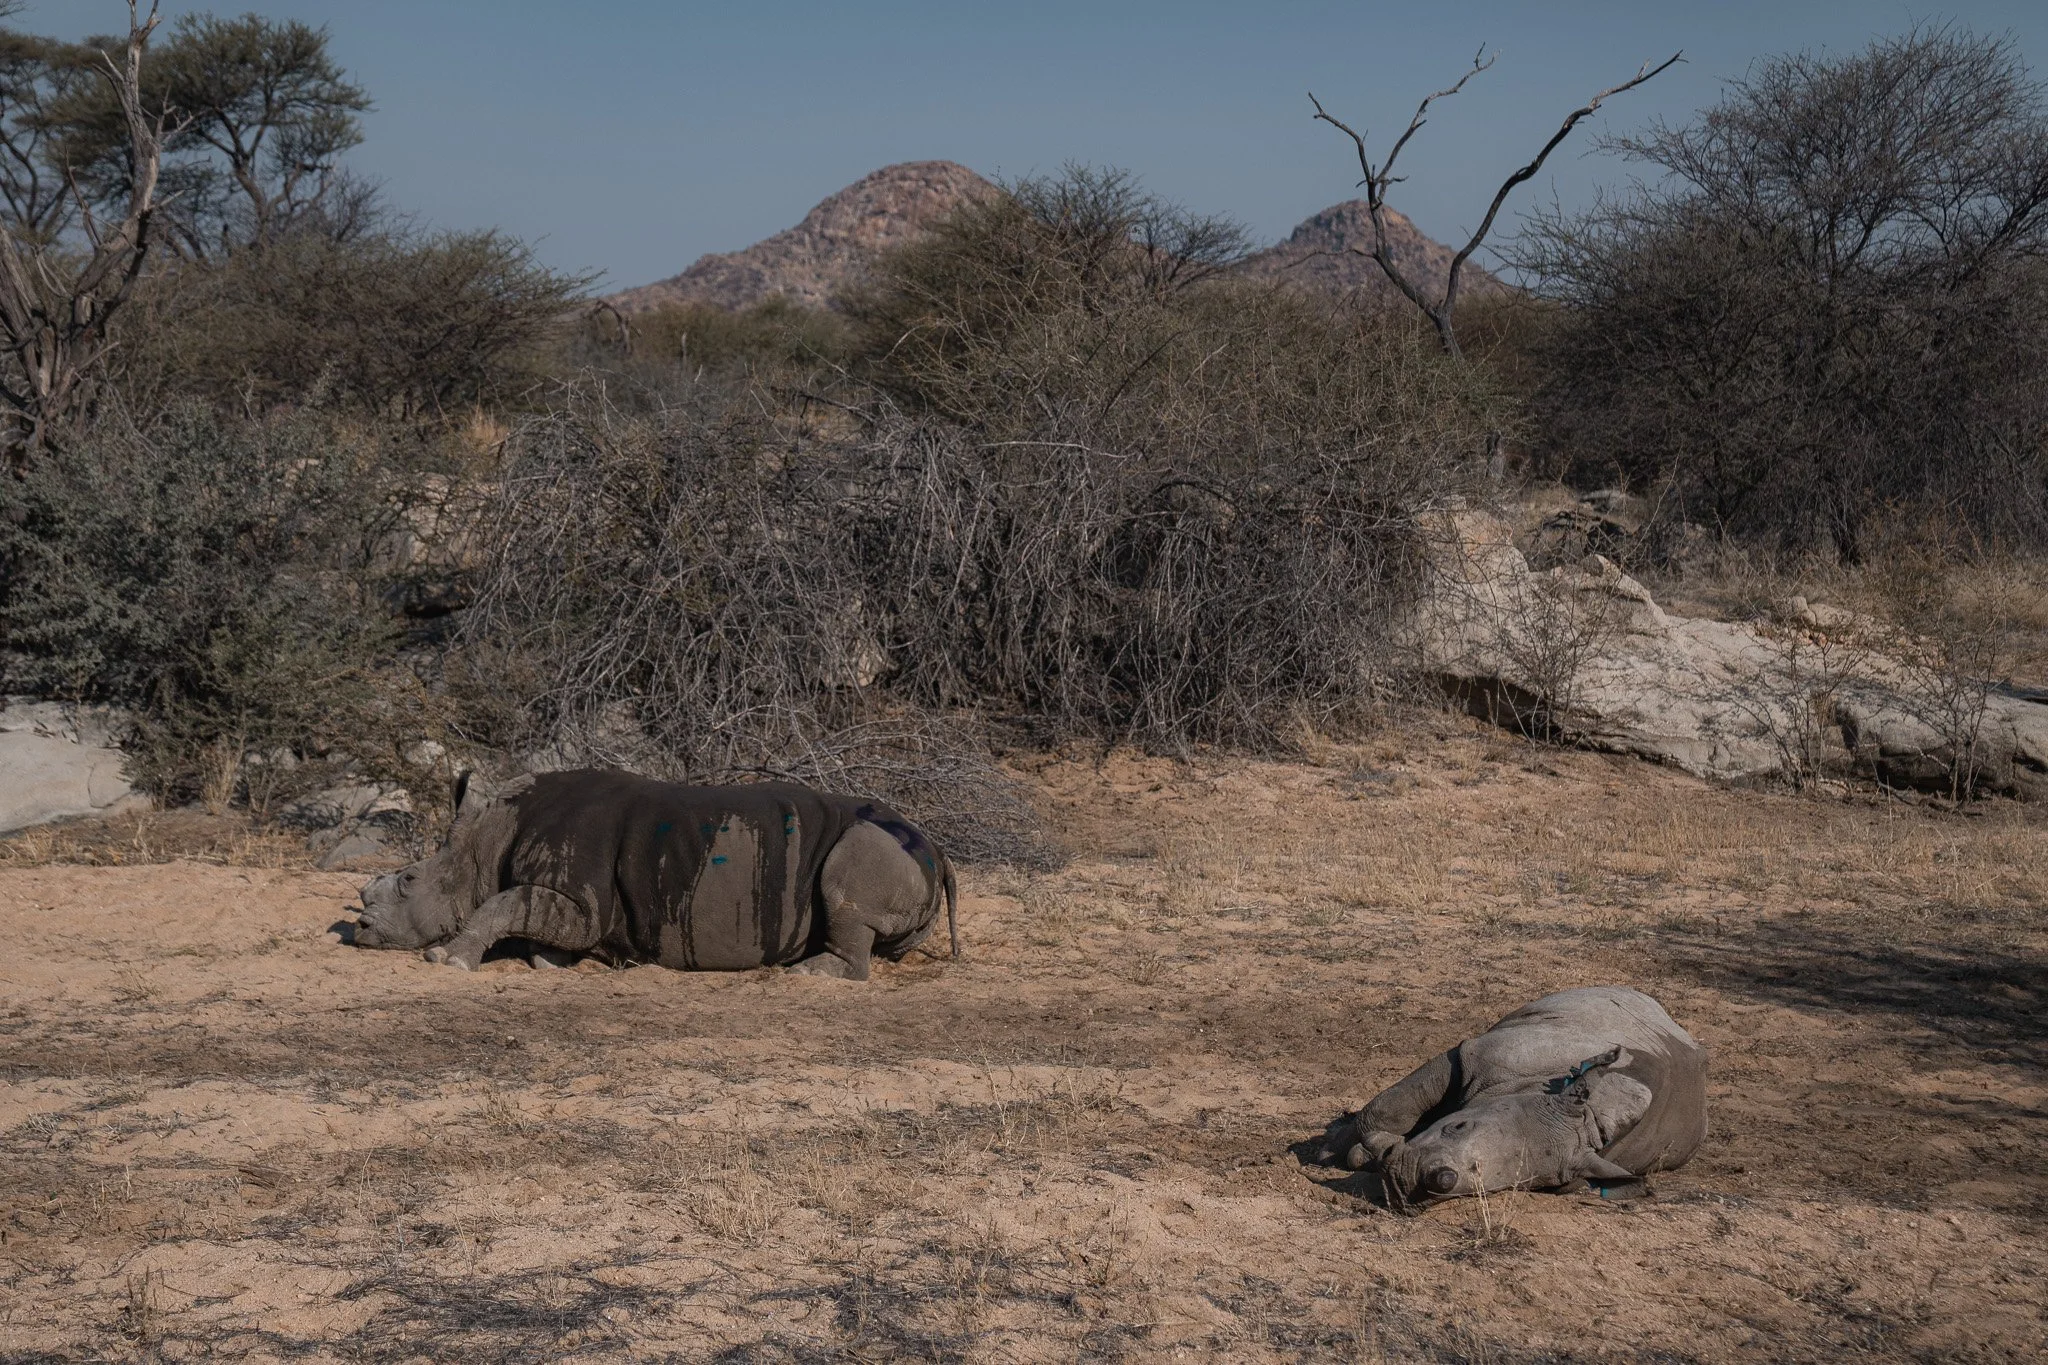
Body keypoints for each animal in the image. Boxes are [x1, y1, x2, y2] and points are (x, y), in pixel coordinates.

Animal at [350, 769, 957, 980]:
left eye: (407, 881)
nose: (359, 929)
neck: (488, 840)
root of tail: (938, 848)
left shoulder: (582, 897)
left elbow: (503, 904)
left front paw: (447, 960)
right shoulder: (580, 904)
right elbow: (532, 920)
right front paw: (554, 962)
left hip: (882, 844)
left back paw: (810, 973)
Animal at [1320, 986, 1706, 1211]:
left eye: (1510, 1186)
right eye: (1458, 1127)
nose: (1407, 1183)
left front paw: (1365, 1152)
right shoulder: (1473, 1056)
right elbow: (1395, 1104)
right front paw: (1333, 1153)